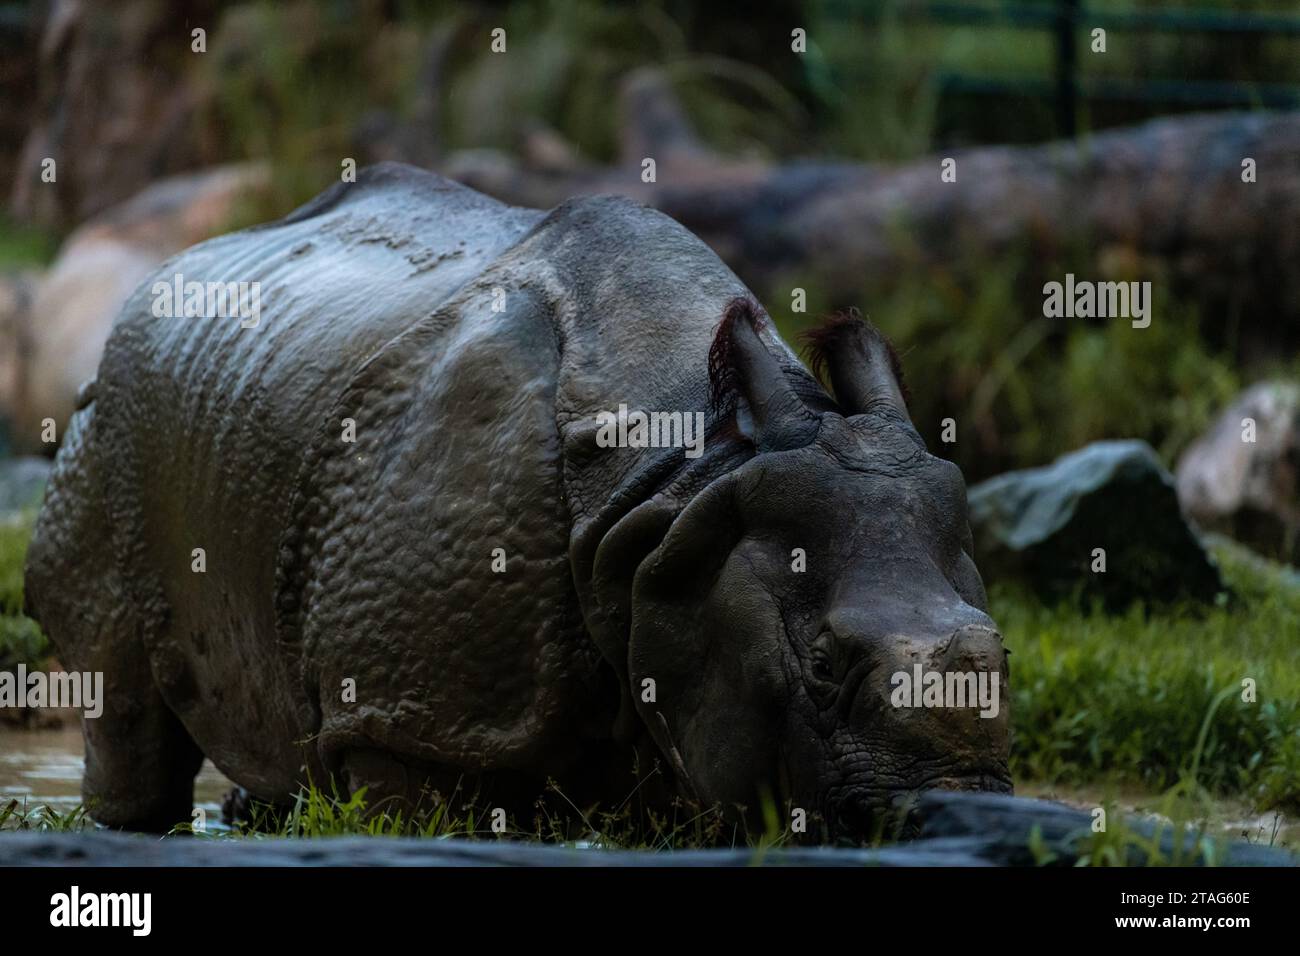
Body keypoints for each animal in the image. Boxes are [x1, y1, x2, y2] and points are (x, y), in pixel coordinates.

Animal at [25, 163, 1011, 837]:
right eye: (822, 663)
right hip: (108, 421)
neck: (679, 478)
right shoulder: (409, 717)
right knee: (120, 687)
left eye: (1002, 656)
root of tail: (166, 270)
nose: (951, 811)